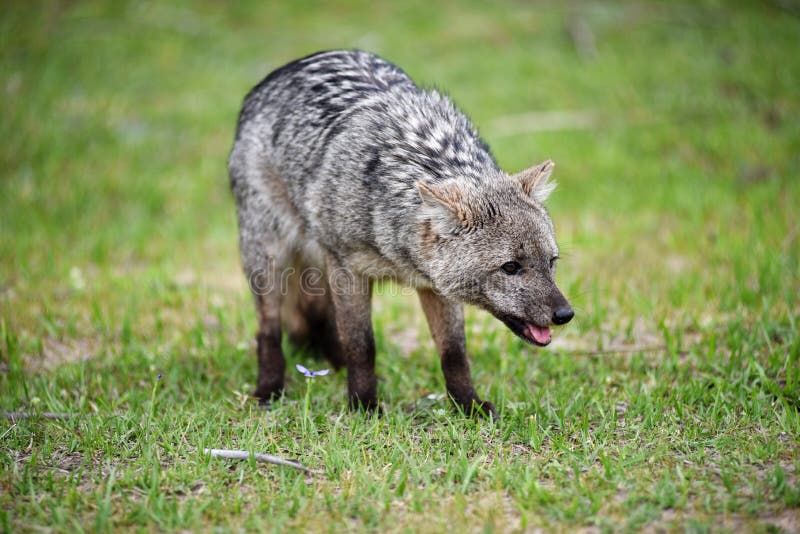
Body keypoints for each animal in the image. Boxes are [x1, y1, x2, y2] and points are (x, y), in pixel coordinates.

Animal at [229, 50, 574, 418]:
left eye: (551, 262)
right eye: (511, 267)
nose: (565, 315)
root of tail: (283, 70)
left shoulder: (434, 287)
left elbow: (454, 353)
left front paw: (468, 405)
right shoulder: (347, 268)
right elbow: (361, 344)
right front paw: (363, 405)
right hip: (270, 262)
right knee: (268, 330)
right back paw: (269, 389)